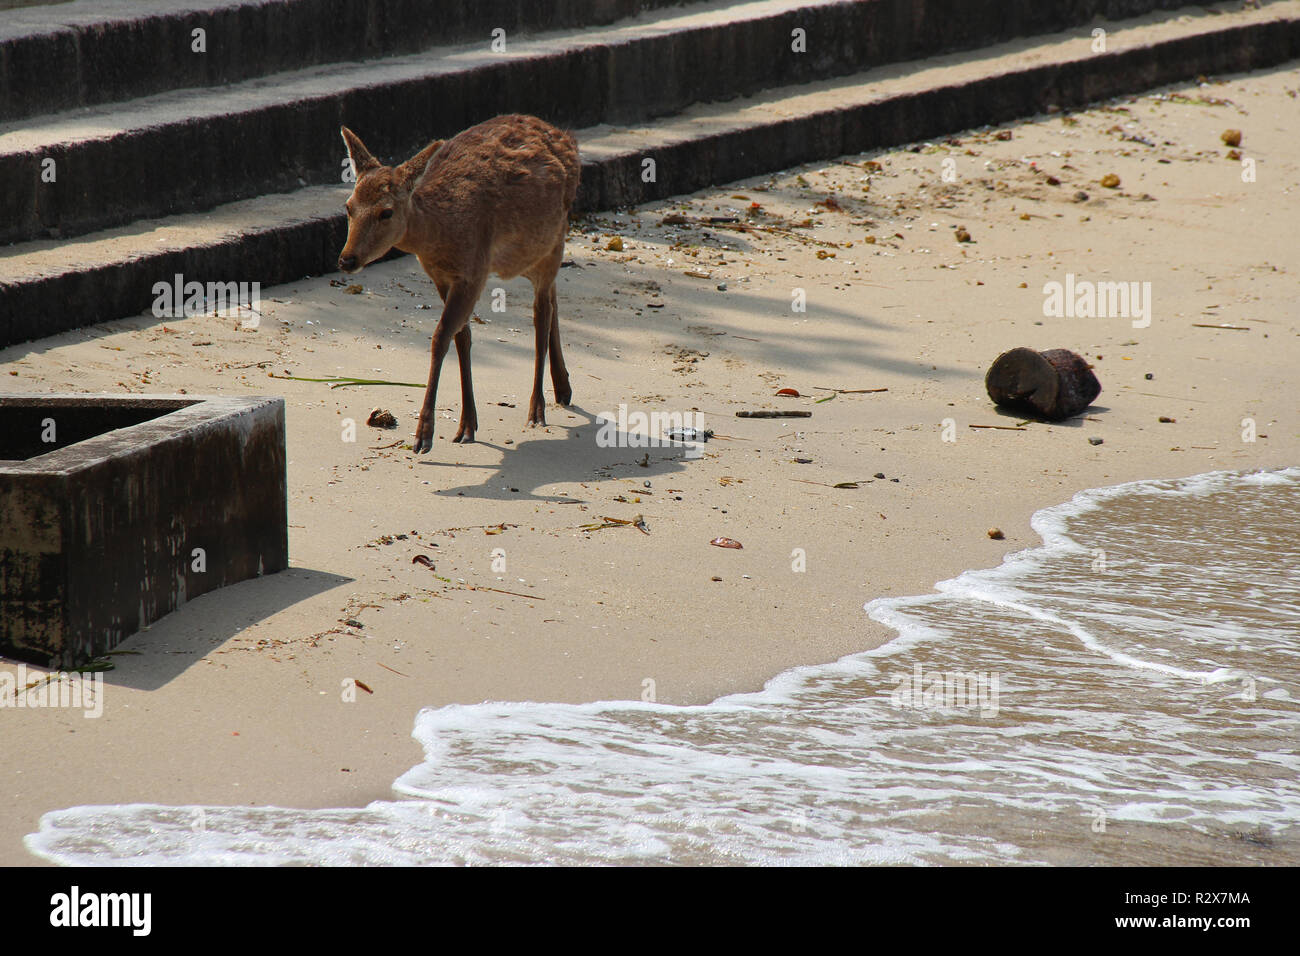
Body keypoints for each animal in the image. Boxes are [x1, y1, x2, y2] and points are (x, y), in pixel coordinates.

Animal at [337, 114, 581, 453]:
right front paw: (467, 425)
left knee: (541, 312)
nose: (347, 259)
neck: (440, 232)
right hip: (535, 251)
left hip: (553, 239)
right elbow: (461, 336)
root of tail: (567, 138)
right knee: (553, 298)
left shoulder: (473, 270)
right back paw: (563, 388)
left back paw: (537, 409)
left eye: (386, 212)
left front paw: (423, 436)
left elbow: (441, 336)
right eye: (348, 206)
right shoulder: (441, 276)